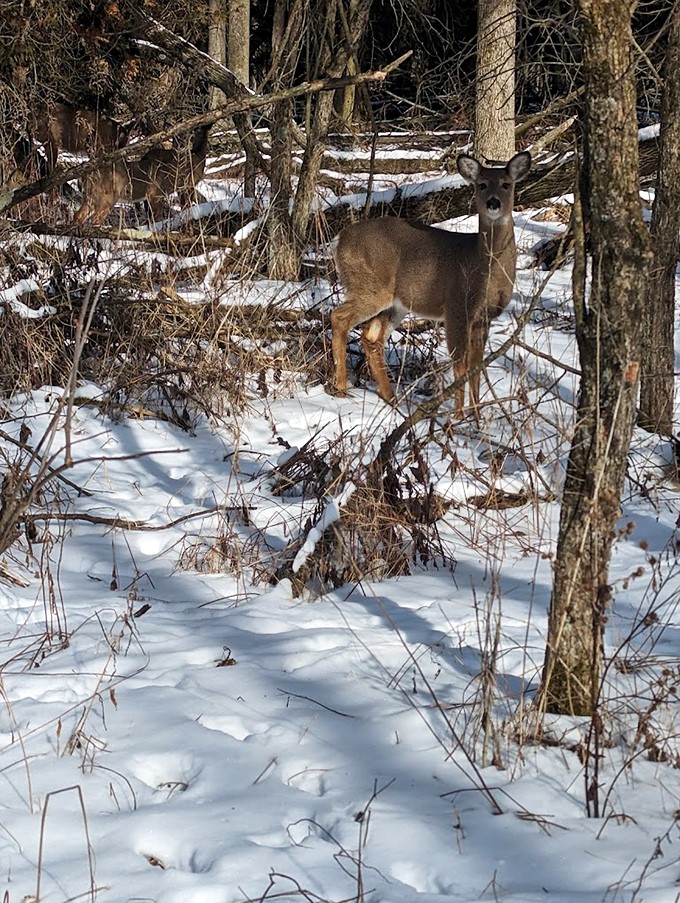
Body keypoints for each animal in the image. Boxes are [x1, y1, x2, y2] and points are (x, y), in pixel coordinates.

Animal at [74, 125, 210, 225]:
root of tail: (84, 176)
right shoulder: (155, 194)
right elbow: (157, 218)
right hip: (107, 196)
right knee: (95, 218)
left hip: (91, 196)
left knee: (78, 215)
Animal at [330, 150, 531, 416]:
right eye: (481, 185)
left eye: (506, 184)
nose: (493, 203)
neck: (482, 265)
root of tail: (339, 240)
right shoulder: (457, 307)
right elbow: (460, 364)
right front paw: (458, 417)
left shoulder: (484, 317)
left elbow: (477, 366)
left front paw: (477, 415)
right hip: (369, 285)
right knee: (339, 317)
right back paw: (342, 388)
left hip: (395, 304)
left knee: (372, 337)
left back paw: (391, 399)